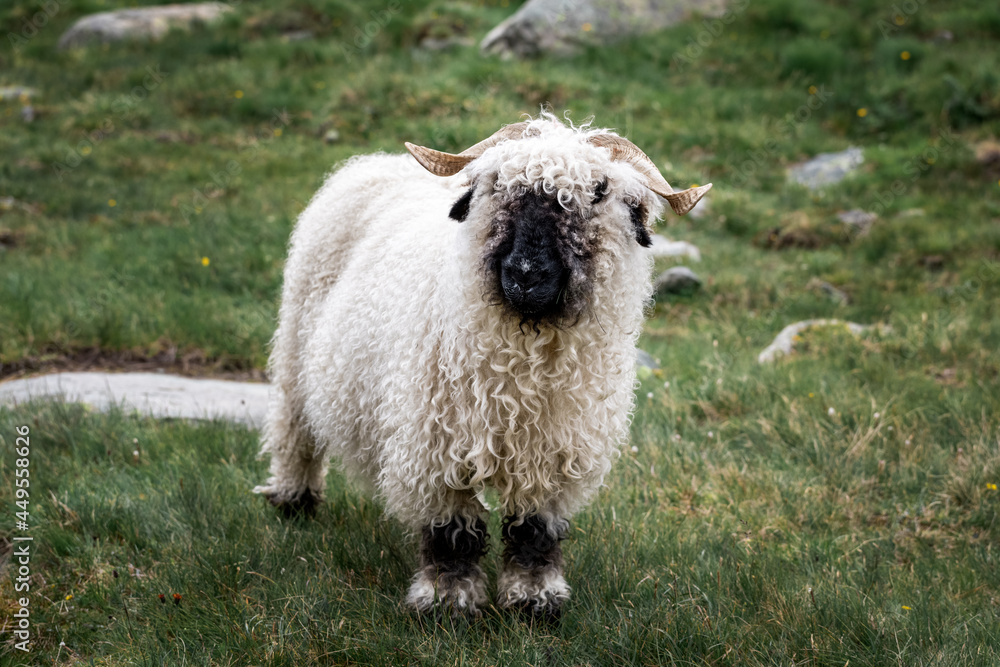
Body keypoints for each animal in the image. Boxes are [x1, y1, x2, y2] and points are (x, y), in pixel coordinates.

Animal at [253, 114, 711, 620]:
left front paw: (534, 600)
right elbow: (451, 532)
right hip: (295, 345)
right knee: (294, 429)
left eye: (598, 192)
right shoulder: (436, 445)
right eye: (495, 185)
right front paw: (446, 602)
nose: (526, 274)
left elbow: (534, 530)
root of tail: (371, 162)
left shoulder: (553, 453)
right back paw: (293, 501)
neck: (521, 364)